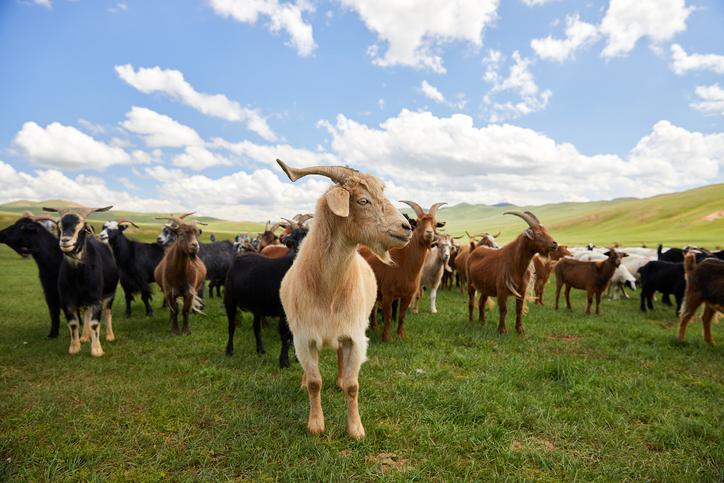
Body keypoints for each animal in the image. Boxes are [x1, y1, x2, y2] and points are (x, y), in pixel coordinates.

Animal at [42, 205, 119, 356]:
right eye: (59, 226)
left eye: (82, 227)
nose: (65, 241)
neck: (79, 277)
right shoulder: (67, 301)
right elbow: (73, 323)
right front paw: (74, 347)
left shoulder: (96, 299)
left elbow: (94, 323)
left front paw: (97, 350)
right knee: (87, 313)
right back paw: (84, 337)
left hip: (109, 294)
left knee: (107, 312)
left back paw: (109, 336)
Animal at [224, 224, 308, 368]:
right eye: (294, 242)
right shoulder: (283, 310)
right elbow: (285, 335)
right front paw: (284, 362)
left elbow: (294, 336)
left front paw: (298, 359)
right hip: (230, 300)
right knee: (232, 325)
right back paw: (229, 351)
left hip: (257, 305)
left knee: (256, 327)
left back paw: (261, 350)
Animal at [277, 159, 412, 439]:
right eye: (362, 200)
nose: (407, 228)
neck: (329, 290)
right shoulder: (304, 337)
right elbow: (315, 382)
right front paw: (316, 424)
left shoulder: (355, 336)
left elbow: (353, 386)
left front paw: (356, 429)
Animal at [361, 200, 445, 342]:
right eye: (418, 223)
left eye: (434, 224)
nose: (429, 233)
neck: (404, 266)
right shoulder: (388, 294)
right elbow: (388, 316)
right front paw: (386, 338)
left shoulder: (407, 295)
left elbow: (402, 315)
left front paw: (401, 335)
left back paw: (374, 326)